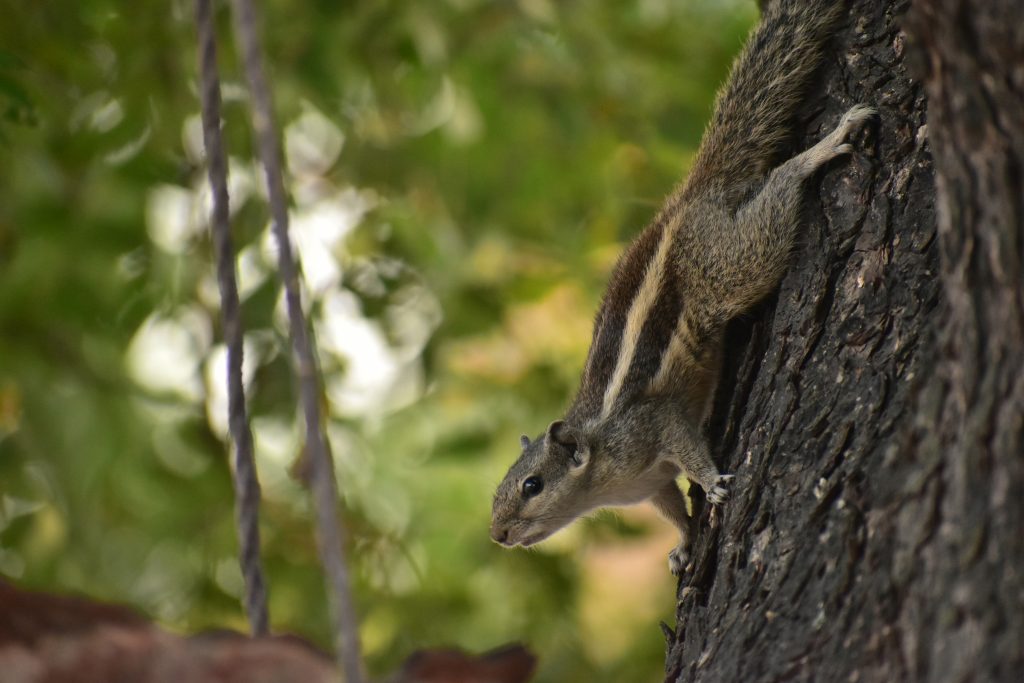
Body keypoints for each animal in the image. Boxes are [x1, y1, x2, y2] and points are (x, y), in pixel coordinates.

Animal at [490, 0, 875, 575]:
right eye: (499, 490)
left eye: (533, 485)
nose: (497, 534)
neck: (601, 469)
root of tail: (691, 197)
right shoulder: (650, 485)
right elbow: (672, 507)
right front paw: (685, 544)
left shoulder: (653, 425)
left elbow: (687, 446)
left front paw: (712, 483)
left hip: (725, 264)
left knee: (776, 198)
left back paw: (818, 151)